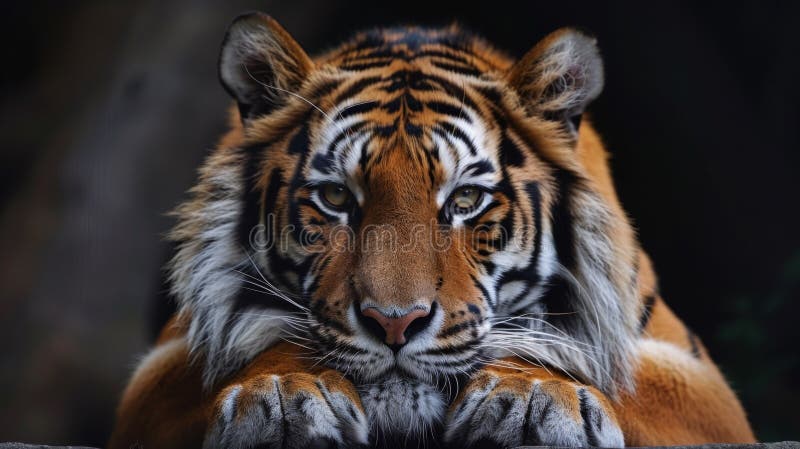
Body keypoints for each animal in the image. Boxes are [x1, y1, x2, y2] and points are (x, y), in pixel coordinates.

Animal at [109, 12, 756, 449]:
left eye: (465, 199)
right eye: (336, 197)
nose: (395, 324)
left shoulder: (696, 376)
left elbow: (557, 348)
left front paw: (532, 400)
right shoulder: (162, 361)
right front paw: (280, 395)